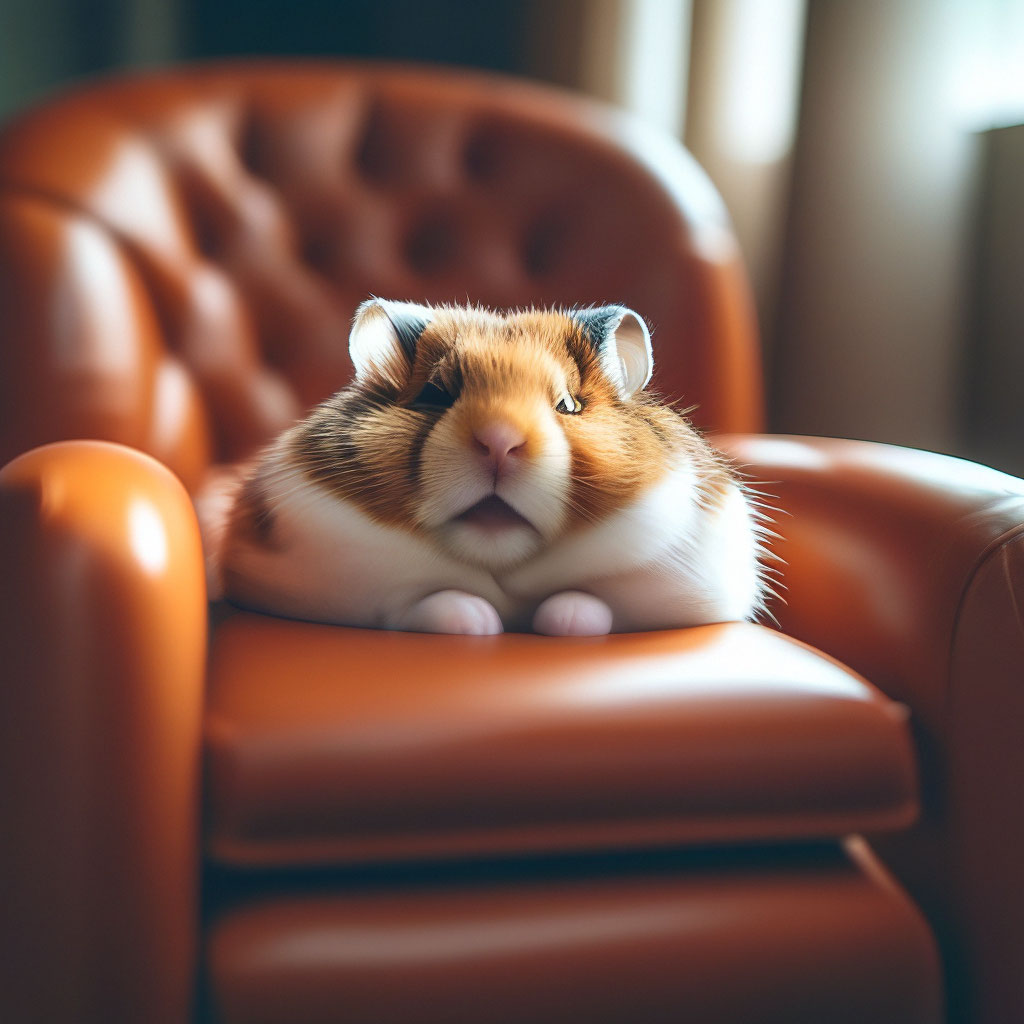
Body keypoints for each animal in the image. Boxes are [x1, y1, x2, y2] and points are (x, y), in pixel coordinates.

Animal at [210, 299, 772, 636]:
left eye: (568, 405)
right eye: (435, 396)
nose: (500, 442)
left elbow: (591, 606)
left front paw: (559, 619)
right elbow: (424, 603)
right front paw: (478, 622)